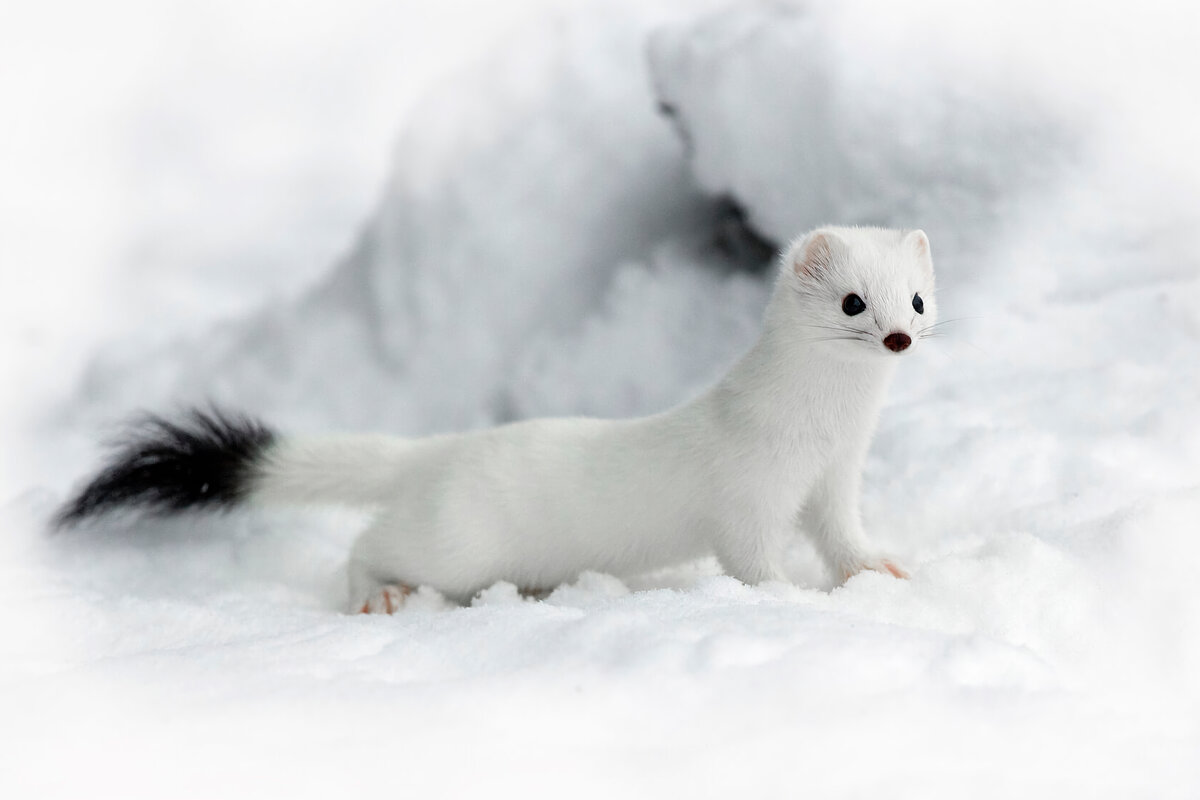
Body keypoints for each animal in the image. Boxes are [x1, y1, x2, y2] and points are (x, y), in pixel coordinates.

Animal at [58, 225, 936, 614]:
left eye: (918, 299)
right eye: (853, 302)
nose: (898, 335)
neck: (822, 430)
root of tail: (433, 453)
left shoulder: (836, 478)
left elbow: (842, 535)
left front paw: (881, 570)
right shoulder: (746, 492)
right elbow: (750, 556)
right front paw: (789, 596)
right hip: (452, 541)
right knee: (367, 543)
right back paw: (379, 594)